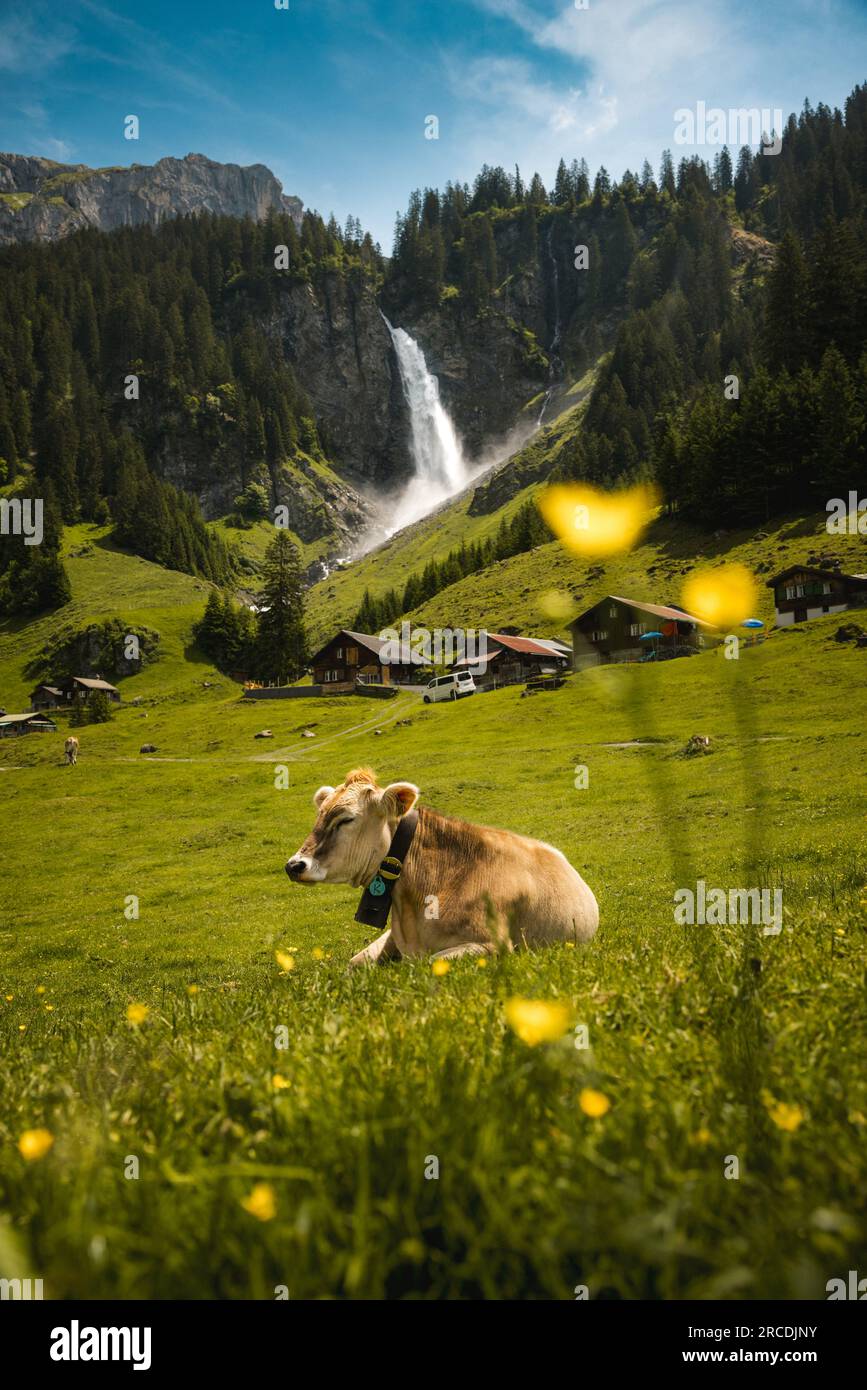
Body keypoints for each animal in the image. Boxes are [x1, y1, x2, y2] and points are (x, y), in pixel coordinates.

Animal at [285, 767, 598, 967]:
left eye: (346, 819)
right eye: (320, 814)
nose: (294, 865)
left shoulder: (494, 944)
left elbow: (430, 963)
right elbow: (354, 963)